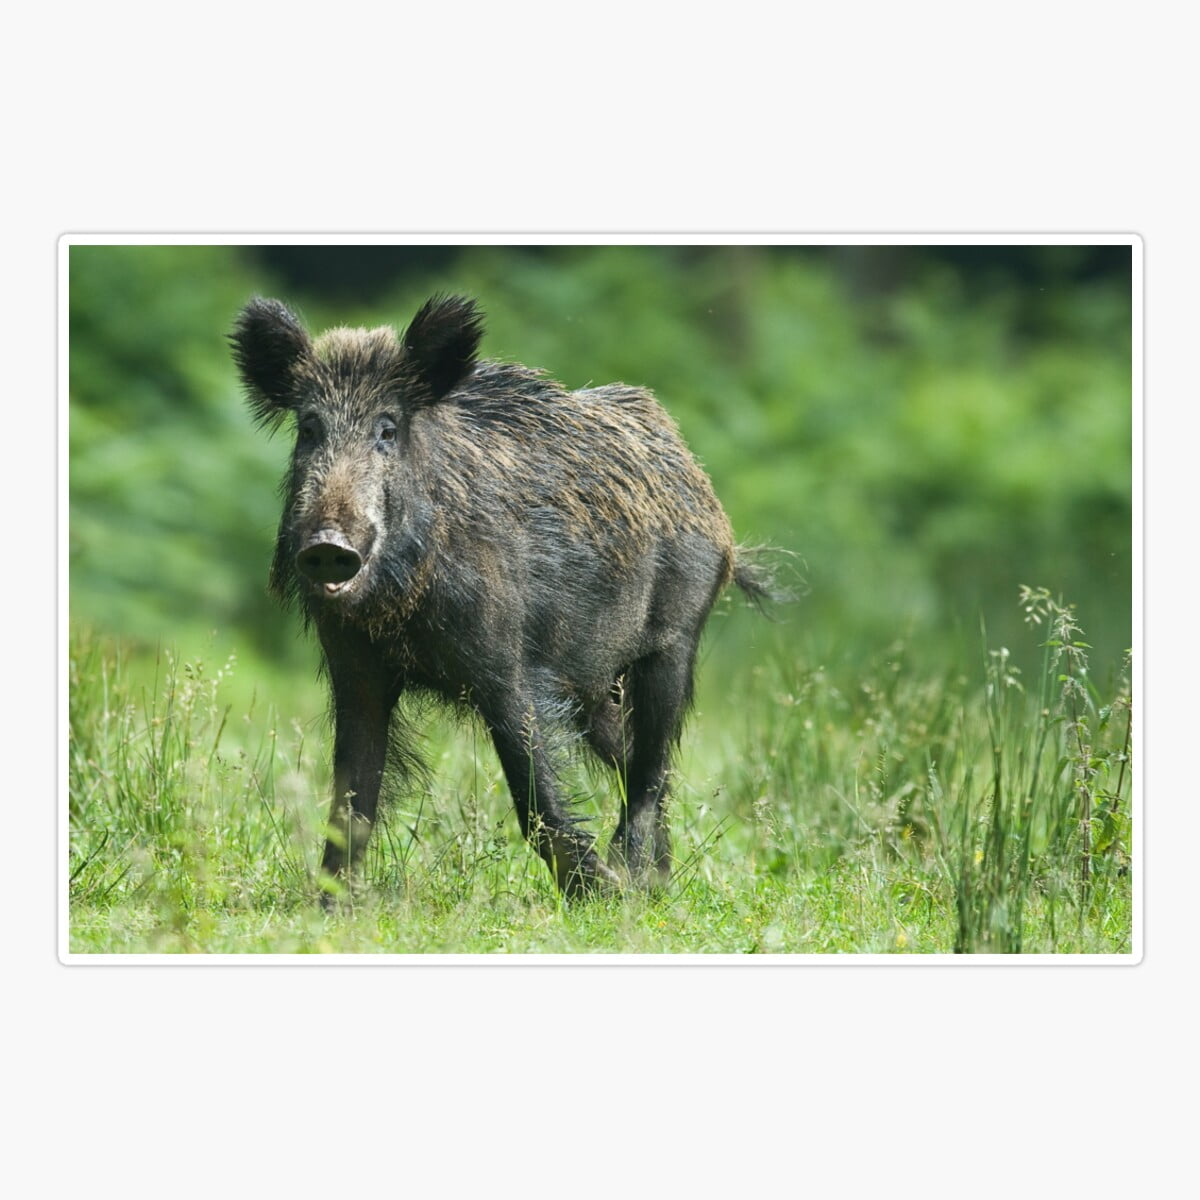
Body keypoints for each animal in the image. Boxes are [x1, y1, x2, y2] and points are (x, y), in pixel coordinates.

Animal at [232, 294, 768, 899]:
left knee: (652, 770)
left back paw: (633, 882)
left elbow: (533, 803)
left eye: (387, 430)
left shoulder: (506, 666)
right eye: (309, 428)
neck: (402, 611)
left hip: (674, 638)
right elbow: (350, 806)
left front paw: (599, 894)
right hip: (591, 681)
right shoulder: (356, 669)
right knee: (635, 761)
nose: (328, 545)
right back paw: (657, 881)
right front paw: (329, 908)